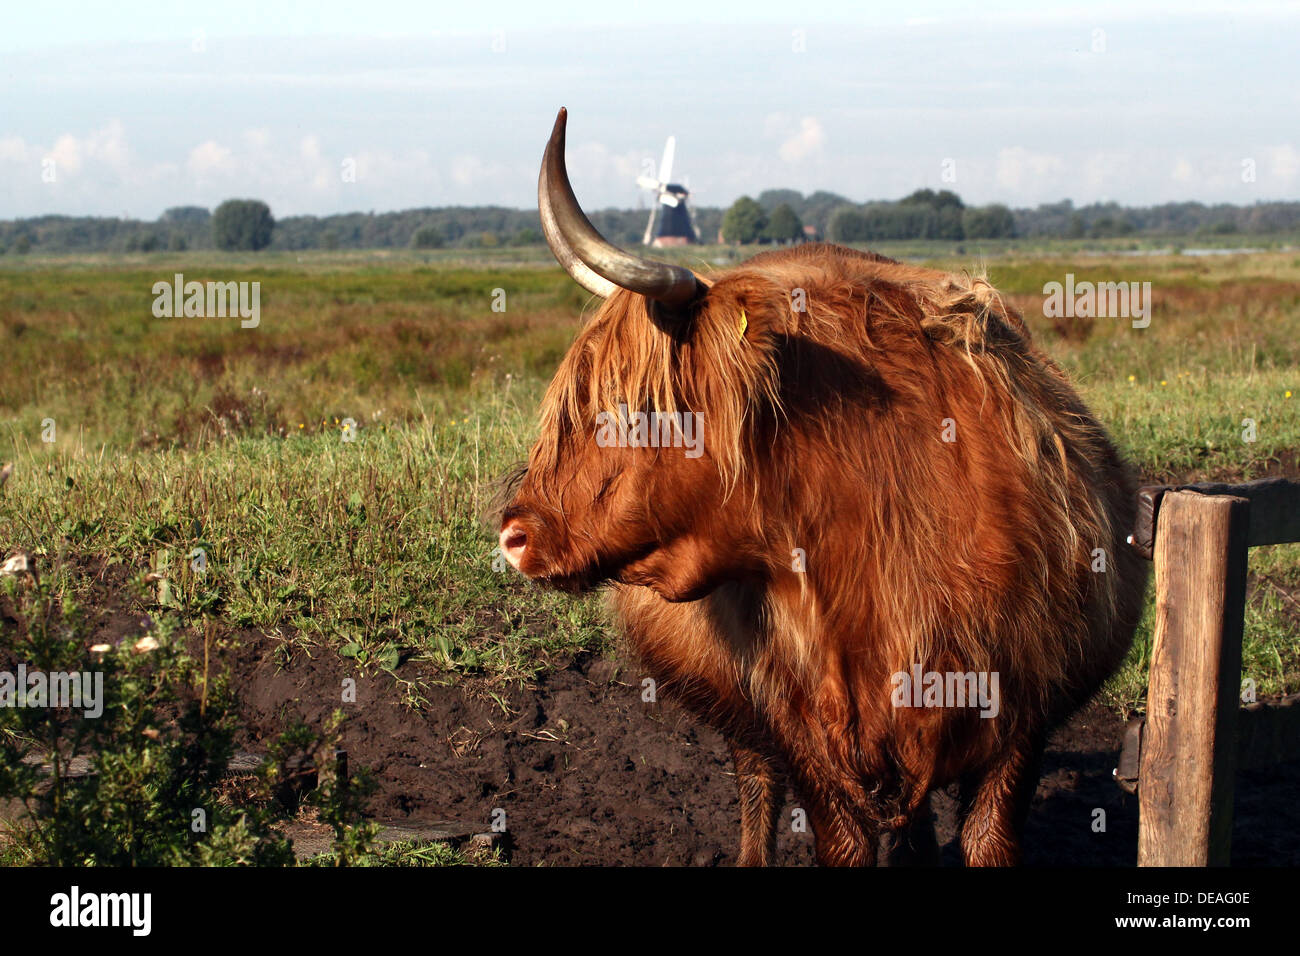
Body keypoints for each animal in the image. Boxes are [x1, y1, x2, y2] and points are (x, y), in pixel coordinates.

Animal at [498, 108, 1148, 866]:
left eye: (637, 409)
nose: (515, 534)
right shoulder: (800, 727)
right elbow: (838, 839)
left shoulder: (1020, 718)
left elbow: (988, 839)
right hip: (746, 722)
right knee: (756, 785)